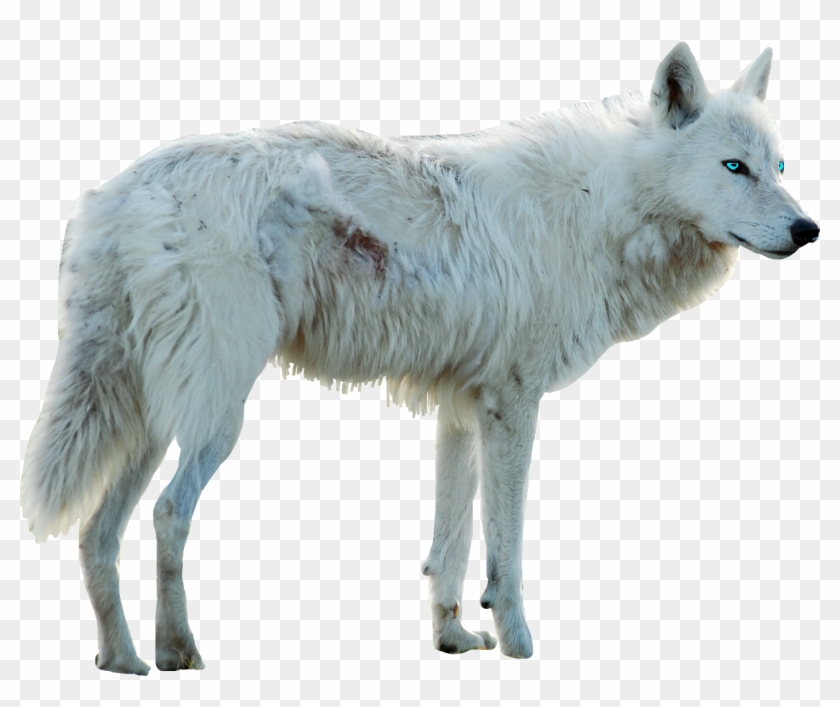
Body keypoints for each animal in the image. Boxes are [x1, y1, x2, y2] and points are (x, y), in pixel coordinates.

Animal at [21, 42, 818, 673]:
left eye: (777, 166)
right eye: (734, 167)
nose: (808, 229)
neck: (596, 210)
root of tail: (118, 194)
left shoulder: (460, 407)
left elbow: (451, 543)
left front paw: (454, 637)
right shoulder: (512, 404)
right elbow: (504, 547)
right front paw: (519, 644)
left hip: (151, 418)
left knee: (97, 534)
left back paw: (122, 660)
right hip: (216, 417)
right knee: (166, 514)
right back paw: (178, 651)